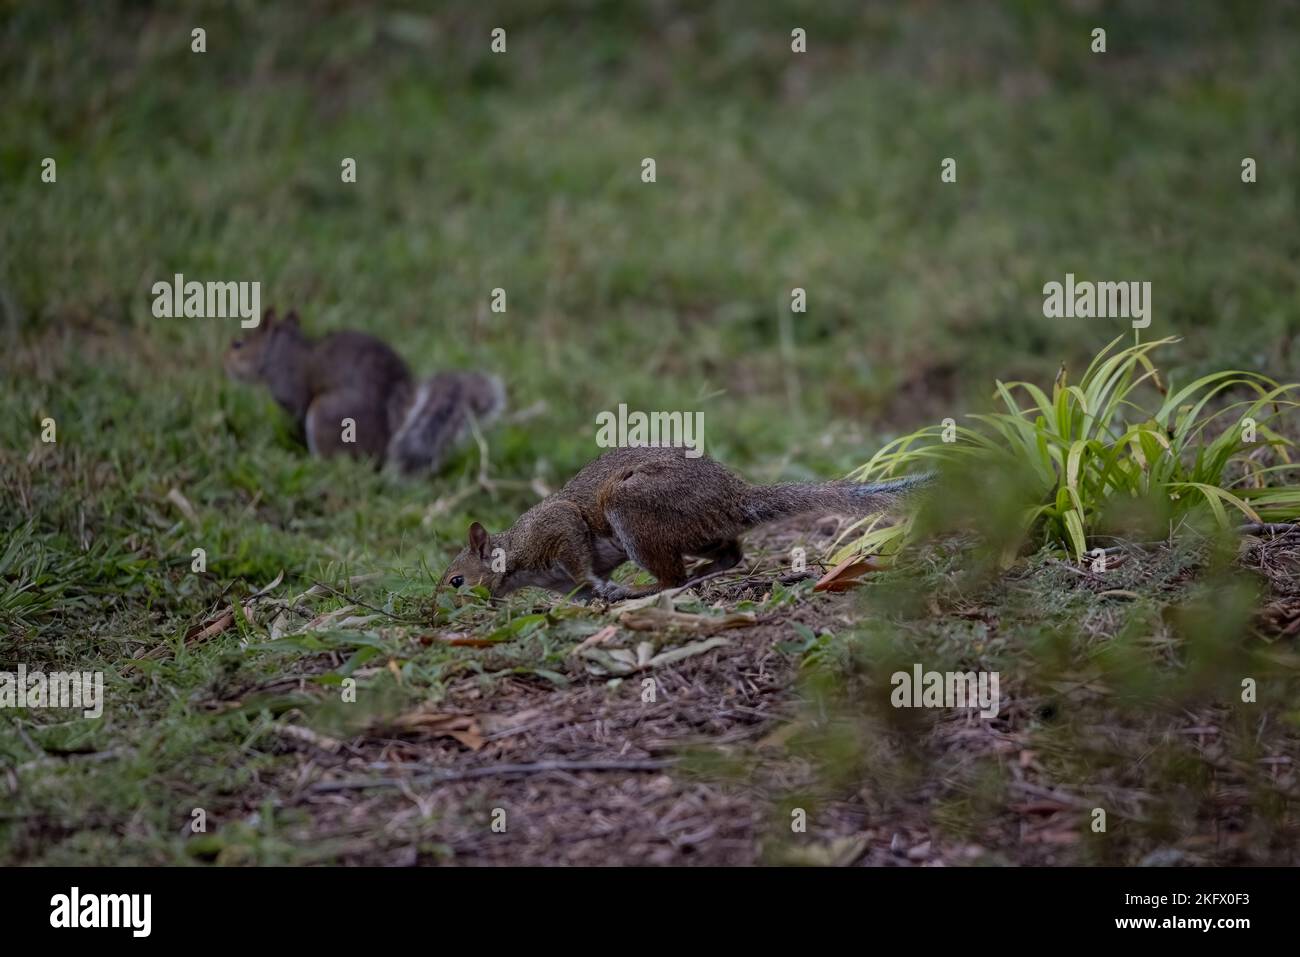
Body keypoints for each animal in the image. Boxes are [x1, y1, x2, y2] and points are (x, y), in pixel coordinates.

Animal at [223, 308, 505, 474]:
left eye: (238, 344)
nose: (224, 362)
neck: (282, 352)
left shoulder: (293, 392)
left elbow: (297, 411)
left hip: (328, 415)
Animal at [441, 446, 932, 602]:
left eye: (455, 580)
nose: (435, 609)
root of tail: (733, 497)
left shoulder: (556, 527)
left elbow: (581, 562)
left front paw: (607, 589)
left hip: (633, 511)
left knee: (671, 577)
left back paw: (647, 592)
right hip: (697, 534)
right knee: (730, 554)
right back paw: (700, 574)